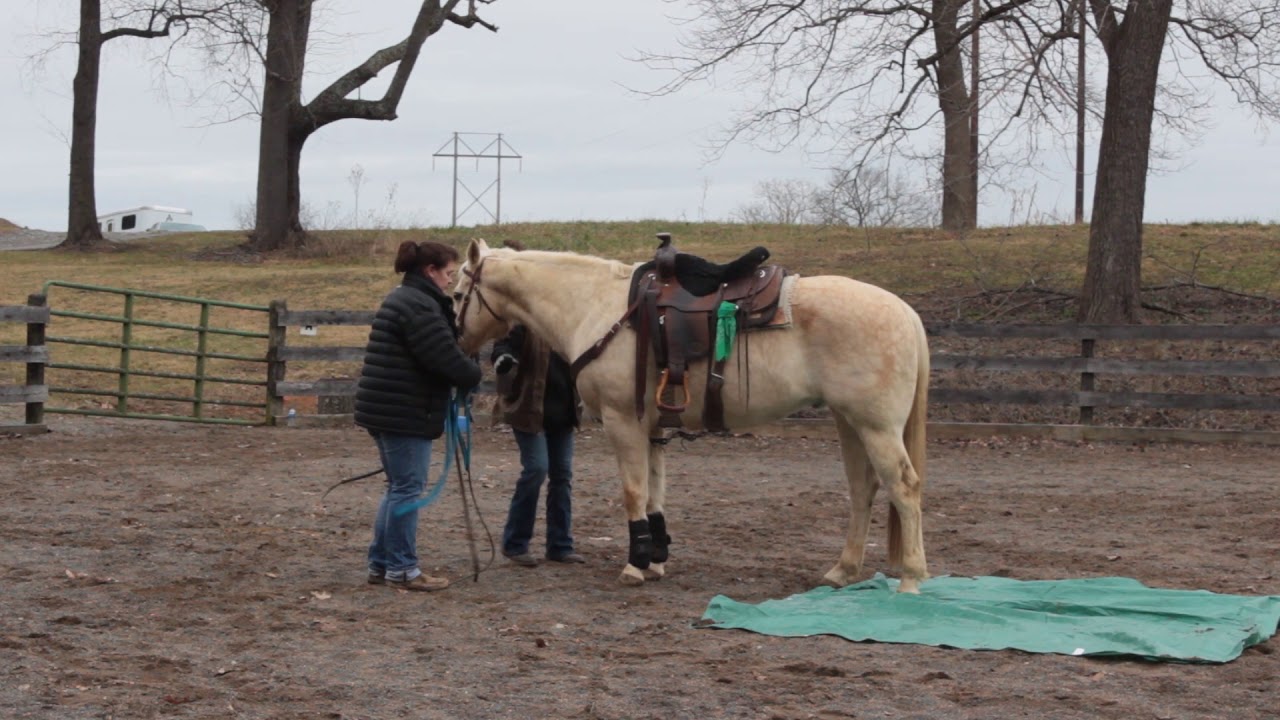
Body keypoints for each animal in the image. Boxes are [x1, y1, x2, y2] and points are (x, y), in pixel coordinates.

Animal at [452, 238, 931, 592]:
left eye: (458, 294)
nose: (458, 346)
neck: (595, 307)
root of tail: (906, 312)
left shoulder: (623, 421)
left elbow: (633, 491)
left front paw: (635, 564)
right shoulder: (652, 426)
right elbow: (654, 493)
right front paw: (655, 559)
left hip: (876, 427)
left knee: (904, 488)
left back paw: (911, 579)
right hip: (849, 423)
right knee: (863, 489)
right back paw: (843, 570)